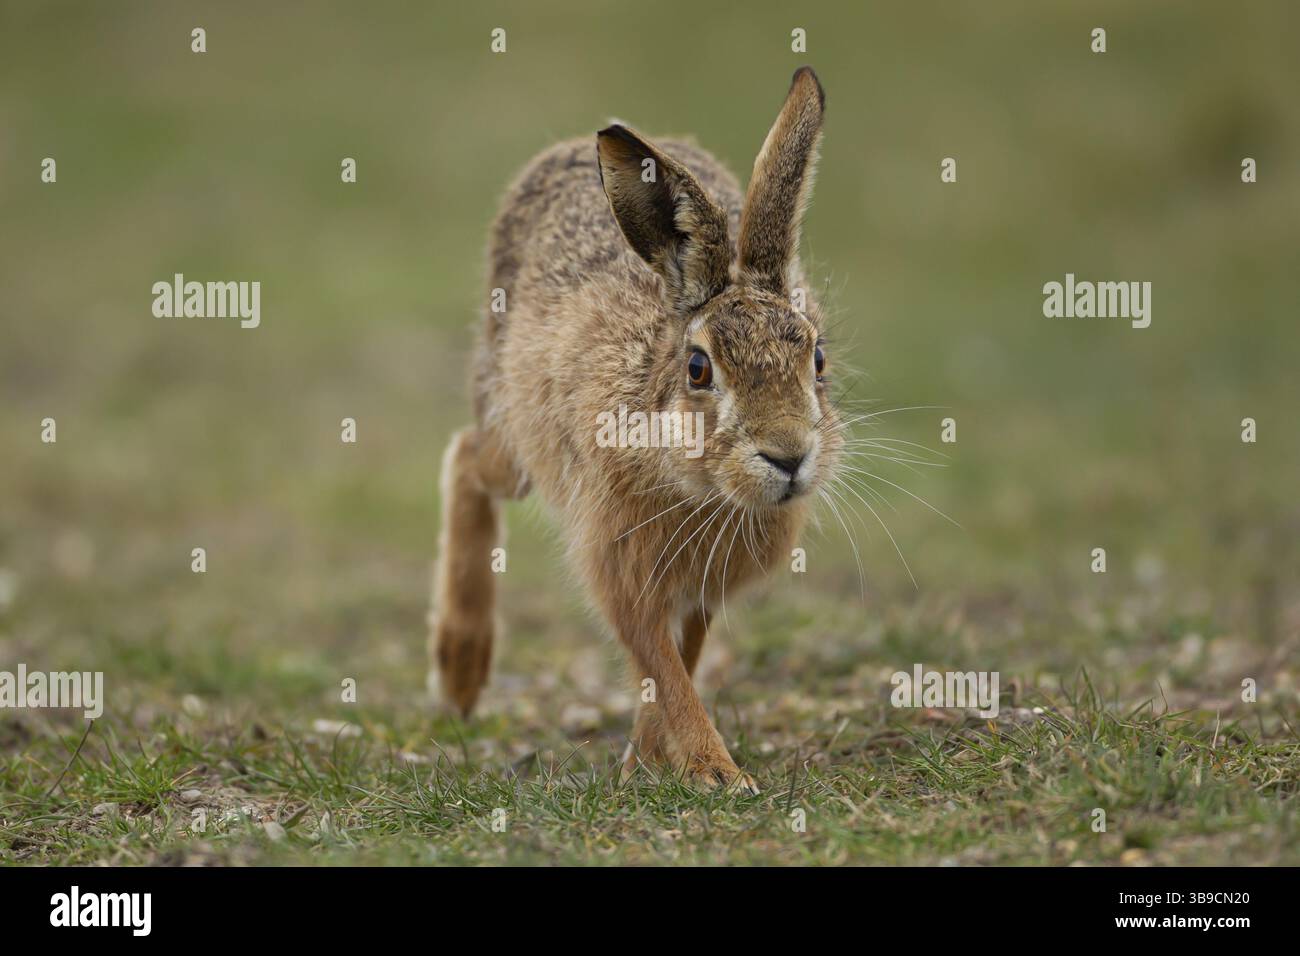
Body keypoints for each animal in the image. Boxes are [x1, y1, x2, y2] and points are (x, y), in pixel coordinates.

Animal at [430, 67, 839, 792]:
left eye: (816, 358)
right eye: (699, 368)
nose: (789, 457)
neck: (698, 482)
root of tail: (561, 151)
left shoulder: (703, 584)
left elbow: (682, 656)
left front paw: (647, 759)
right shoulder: (619, 560)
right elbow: (660, 664)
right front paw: (715, 772)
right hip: (516, 437)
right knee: (468, 456)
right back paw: (461, 668)